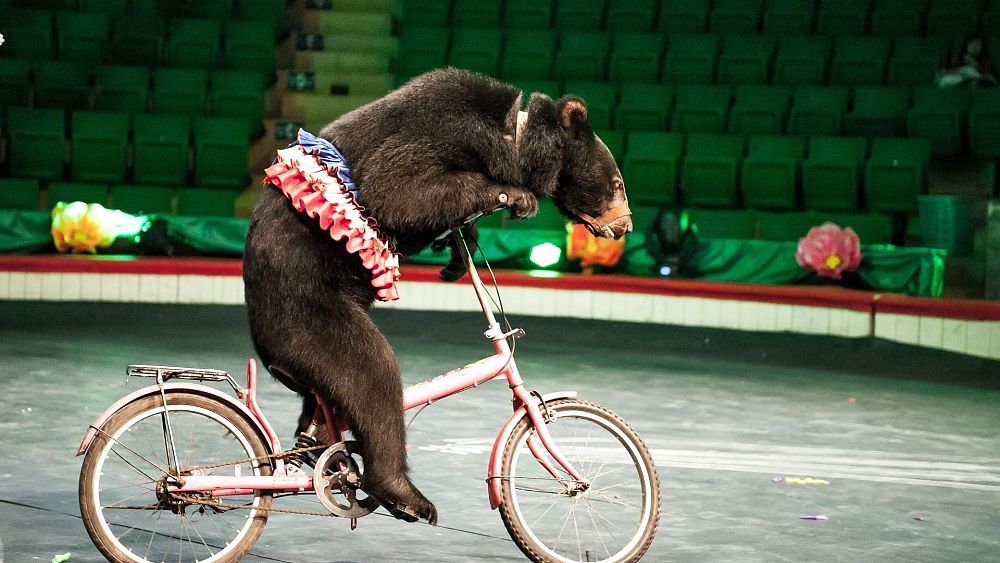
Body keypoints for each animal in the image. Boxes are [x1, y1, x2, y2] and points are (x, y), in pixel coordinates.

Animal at [243, 67, 632, 525]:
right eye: (617, 182)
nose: (626, 226)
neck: (514, 139)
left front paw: (458, 255)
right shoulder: (447, 132)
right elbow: (398, 189)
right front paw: (515, 196)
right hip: (307, 315)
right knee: (370, 375)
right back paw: (402, 492)